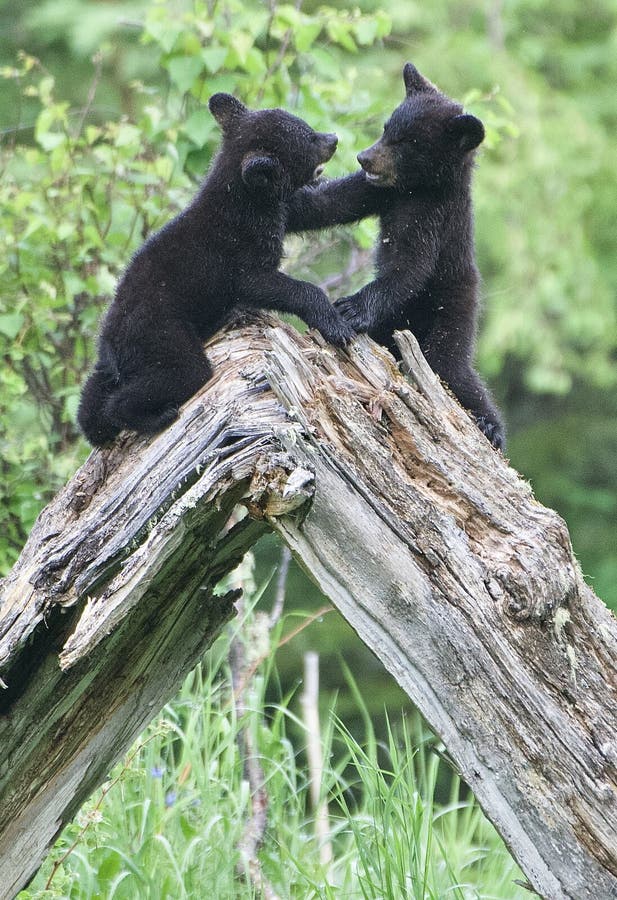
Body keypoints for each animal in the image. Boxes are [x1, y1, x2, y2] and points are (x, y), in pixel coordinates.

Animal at [77, 93, 354, 447]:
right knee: (180, 374)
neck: (245, 198)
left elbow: (325, 204)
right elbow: (263, 283)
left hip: (112, 362)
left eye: (306, 126)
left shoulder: (282, 208)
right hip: (161, 335)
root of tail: (110, 344)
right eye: (308, 139)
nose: (333, 138)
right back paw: (152, 416)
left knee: (91, 401)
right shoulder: (239, 251)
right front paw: (335, 324)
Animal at [286, 63, 505, 449]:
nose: (364, 156)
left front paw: (352, 306)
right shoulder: (379, 193)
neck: (415, 190)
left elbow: (409, 268)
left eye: (407, 142)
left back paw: (491, 426)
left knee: (450, 366)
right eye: (388, 129)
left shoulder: (434, 218)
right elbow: (328, 204)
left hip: (452, 309)